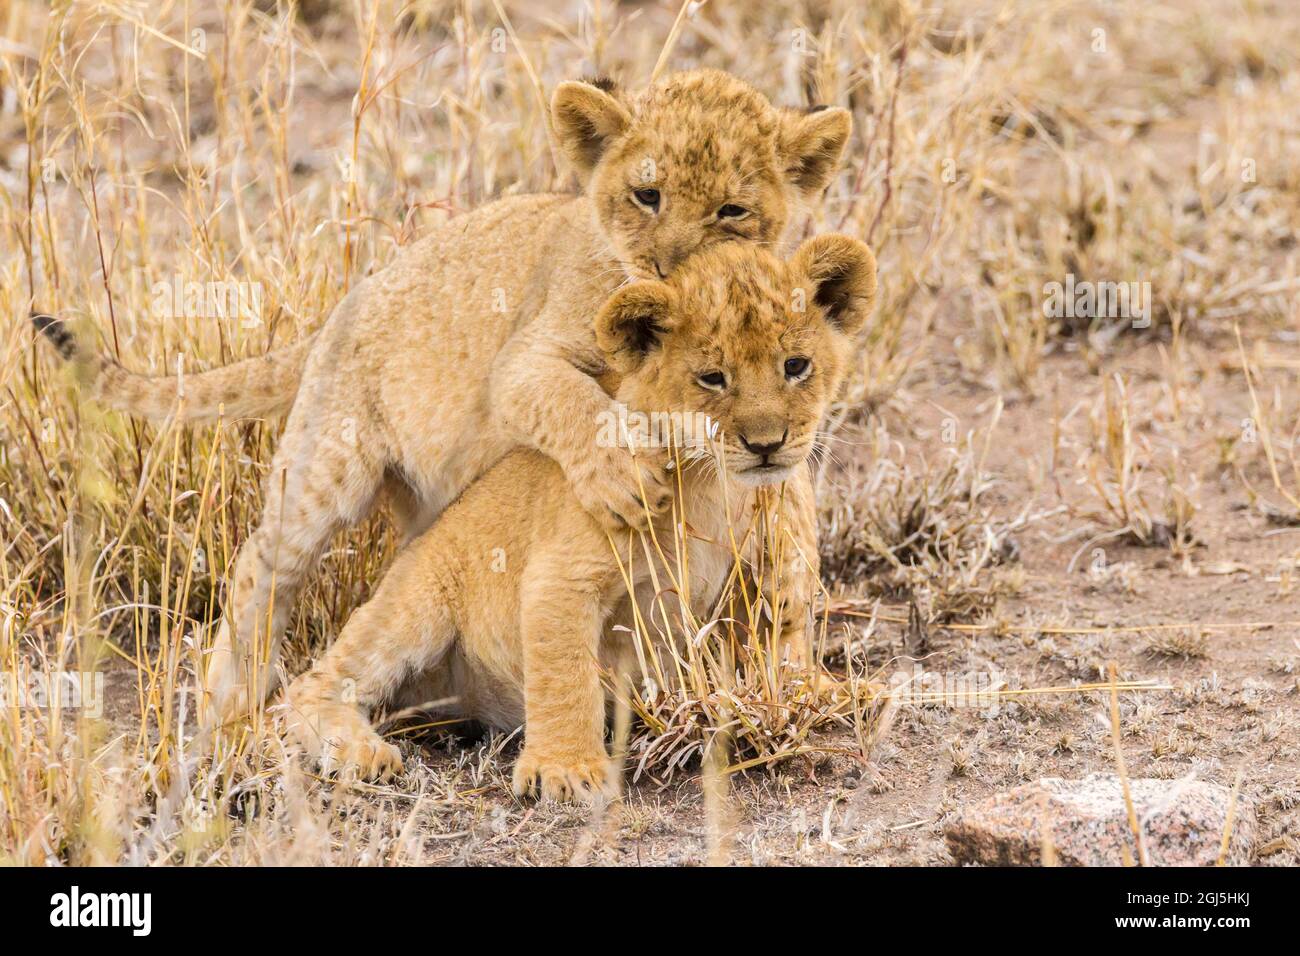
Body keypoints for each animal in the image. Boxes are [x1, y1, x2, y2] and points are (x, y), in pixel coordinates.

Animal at [33, 70, 853, 724]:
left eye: (731, 212)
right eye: (646, 196)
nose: (667, 268)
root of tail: (340, 311)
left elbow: (779, 503)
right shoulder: (525, 359)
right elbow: (574, 405)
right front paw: (624, 477)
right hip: (329, 463)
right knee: (263, 562)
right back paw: (229, 700)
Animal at [281, 234, 878, 802]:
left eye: (795, 366)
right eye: (712, 378)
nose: (766, 445)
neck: (717, 484)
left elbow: (780, 631)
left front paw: (814, 689)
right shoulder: (561, 579)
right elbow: (566, 676)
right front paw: (565, 770)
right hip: (416, 602)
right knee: (311, 684)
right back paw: (361, 753)